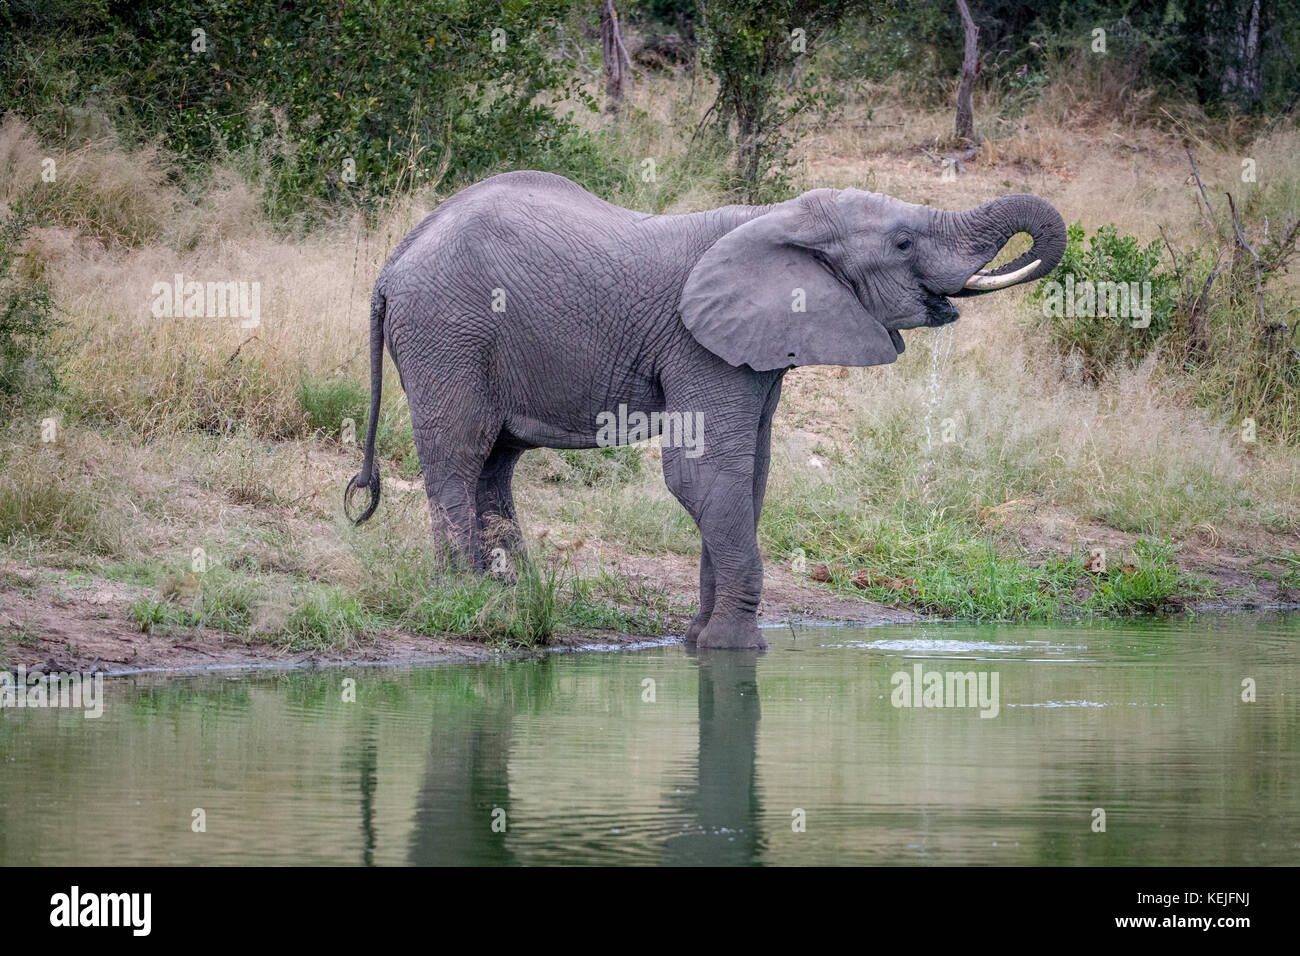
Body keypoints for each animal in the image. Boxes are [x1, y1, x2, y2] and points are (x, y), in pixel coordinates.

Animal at [345, 171, 1066, 649]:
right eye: (903, 245)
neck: (779, 216)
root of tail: (393, 261)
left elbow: (749, 478)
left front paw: (698, 641)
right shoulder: (699, 345)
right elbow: (704, 475)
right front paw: (736, 650)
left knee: (497, 461)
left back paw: (512, 600)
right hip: (448, 332)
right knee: (460, 453)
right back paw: (466, 601)